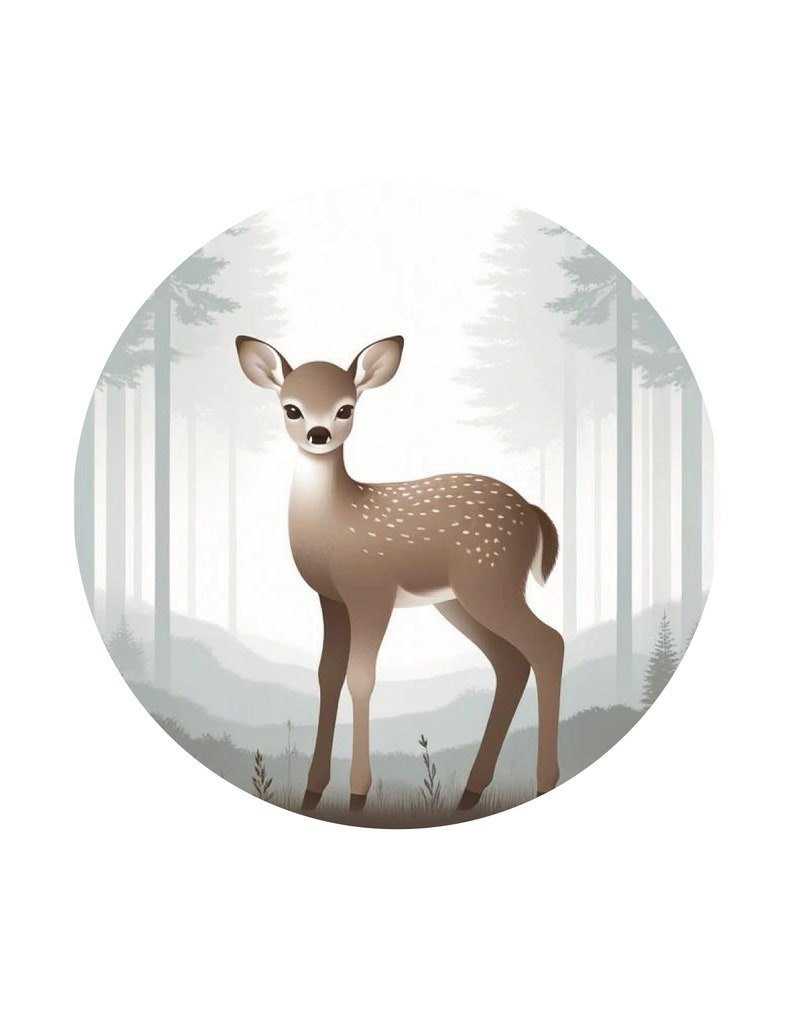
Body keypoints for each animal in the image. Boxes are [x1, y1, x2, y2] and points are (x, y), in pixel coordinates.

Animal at [236, 334, 564, 813]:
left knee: (548, 644)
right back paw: (470, 792)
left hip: (489, 578)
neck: (337, 522)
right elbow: (327, 675)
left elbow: (361, 678)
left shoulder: (371, 590)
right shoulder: (331, 598)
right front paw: (313, 792)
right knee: (510, 662)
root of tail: (534, 514)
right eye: (291, 408)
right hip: (458, 600)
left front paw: (357, 795)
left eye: (346, 408)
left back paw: (543, 782)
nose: (319, 434)